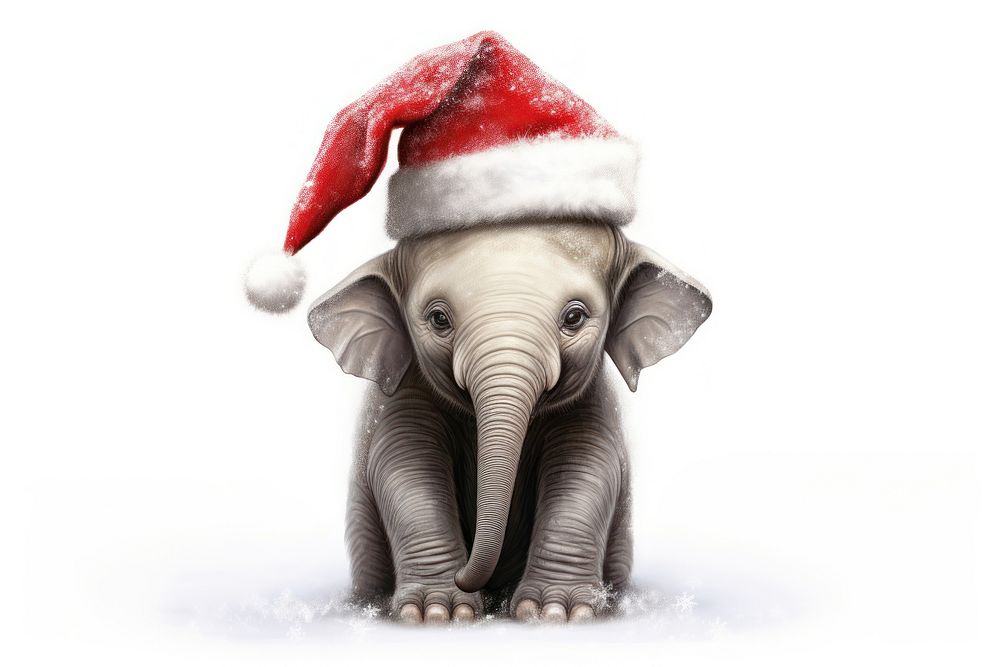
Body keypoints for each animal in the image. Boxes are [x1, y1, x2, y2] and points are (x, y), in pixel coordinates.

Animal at [307, 219, 712, 624]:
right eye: (439, 319)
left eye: (574, 317)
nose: (470, 578)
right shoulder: (405, 391)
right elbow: (405, 467)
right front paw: (438, 612)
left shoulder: (590, 401)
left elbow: (587, 469)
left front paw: (554, 611)